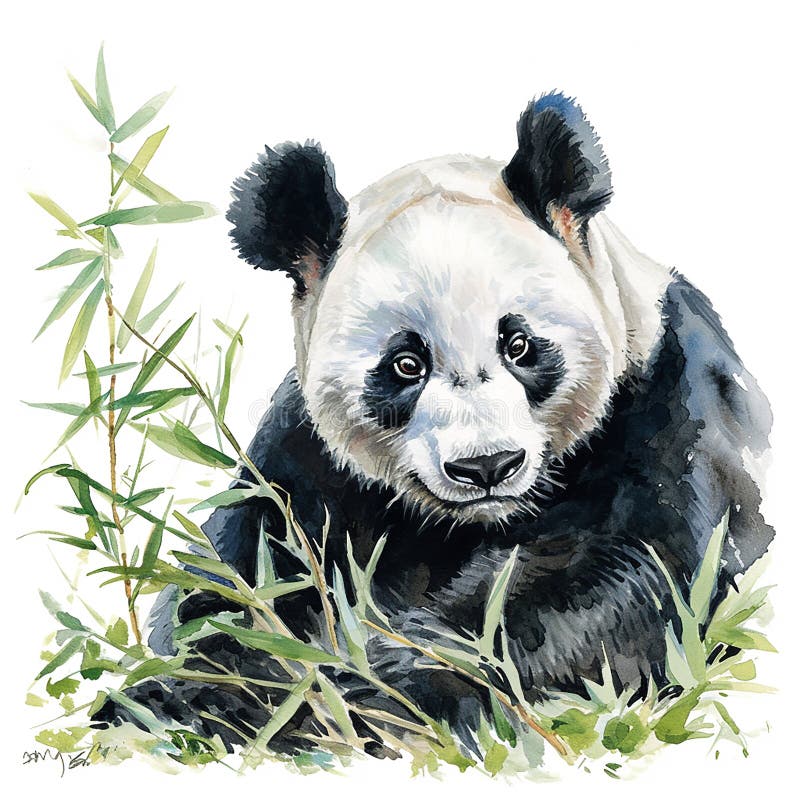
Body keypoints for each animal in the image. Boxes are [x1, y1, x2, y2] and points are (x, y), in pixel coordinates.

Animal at [95, 92, 774, 755]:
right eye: (406, 364)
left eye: (520, 345)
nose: (487, 466)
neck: (469, 522)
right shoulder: (303, 466)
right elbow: (230, 591)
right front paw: (199, 696)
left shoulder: (668, 398)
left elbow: (629, 581)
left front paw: (386, 679)